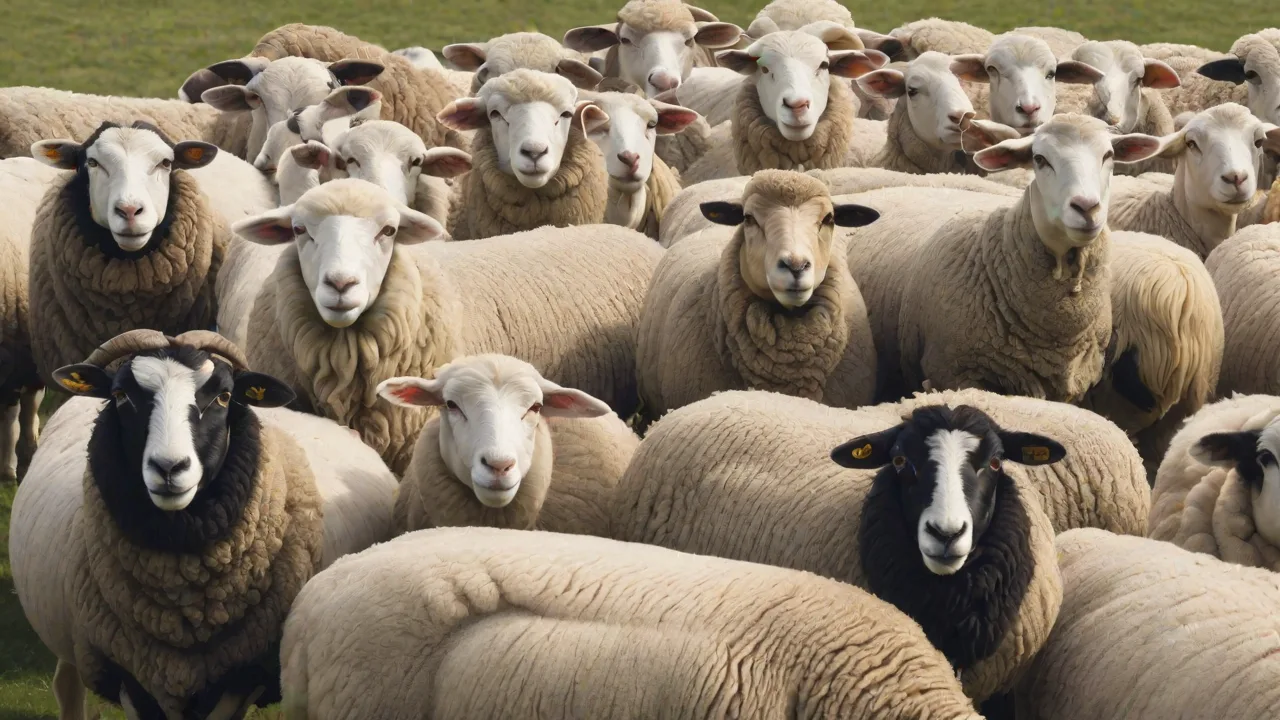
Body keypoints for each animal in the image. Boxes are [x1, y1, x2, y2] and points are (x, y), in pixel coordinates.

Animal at [10, 329, 397, 719]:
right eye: (120, 396)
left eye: (224, 396)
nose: (169, 468)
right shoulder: (128, 675)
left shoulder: (241, 674)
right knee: (68, 685)